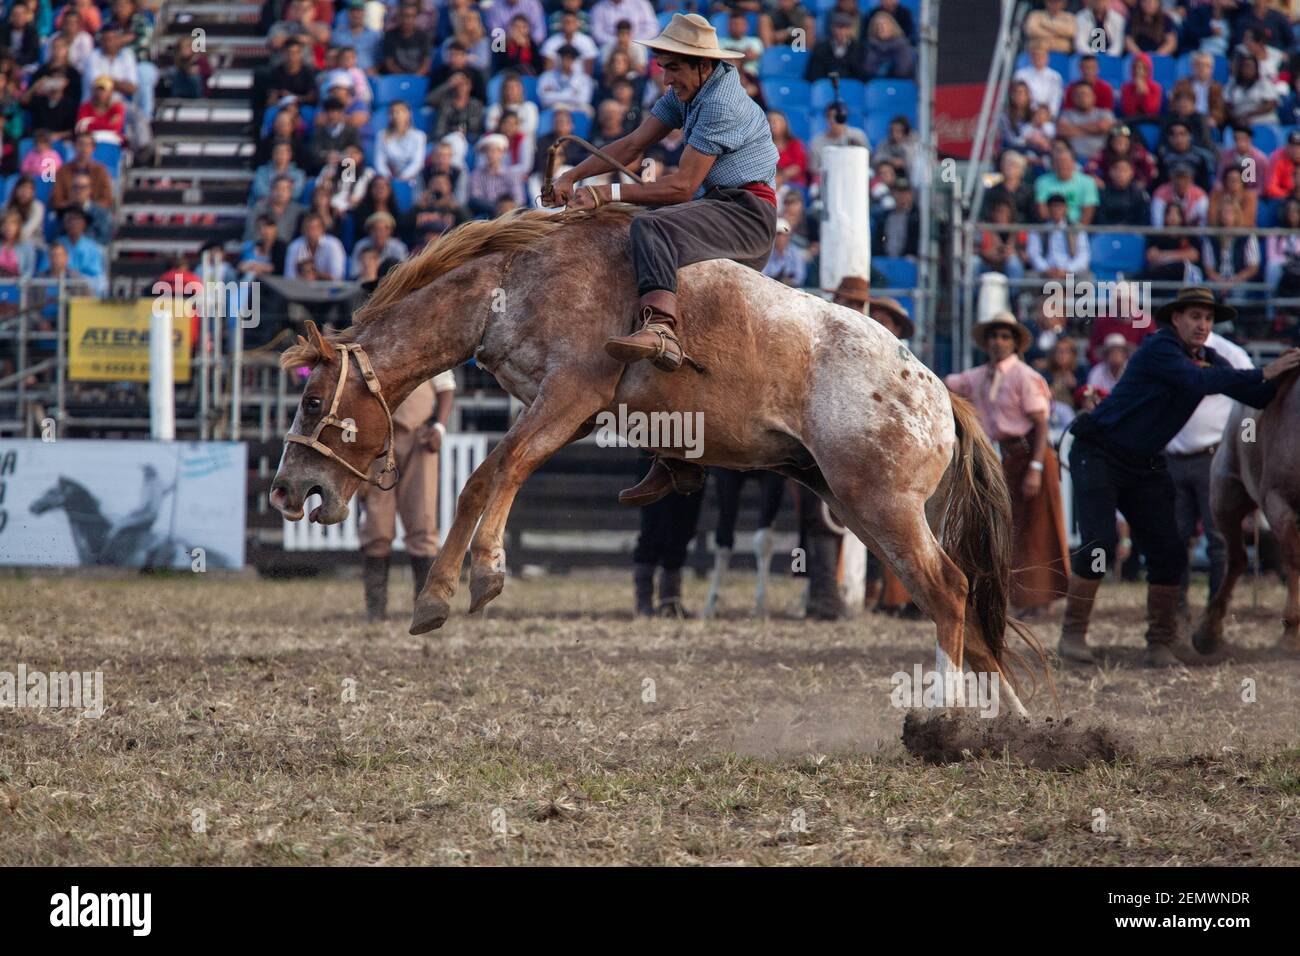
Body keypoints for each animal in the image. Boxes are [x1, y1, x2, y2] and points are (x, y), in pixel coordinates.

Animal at [268, 206, 1045, 716]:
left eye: (310, 400)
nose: (285, 491)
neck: (511, 286)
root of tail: (939, 394)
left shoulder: (570, 389)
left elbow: (489, 475)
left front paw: (455, 588)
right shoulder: (575, 409)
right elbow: (505, 472)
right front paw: (465, 581)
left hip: (882, 506)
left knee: (949, 589)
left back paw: (947, 716)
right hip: (857, 506)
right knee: (955, 601)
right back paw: (1006, 721)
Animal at [1193, 373, 1300, 654]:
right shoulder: (1277, 503)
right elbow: (1294, 561)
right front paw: (1291, 633)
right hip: (1225, 498)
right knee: (1236, 559)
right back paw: (1207, 632)